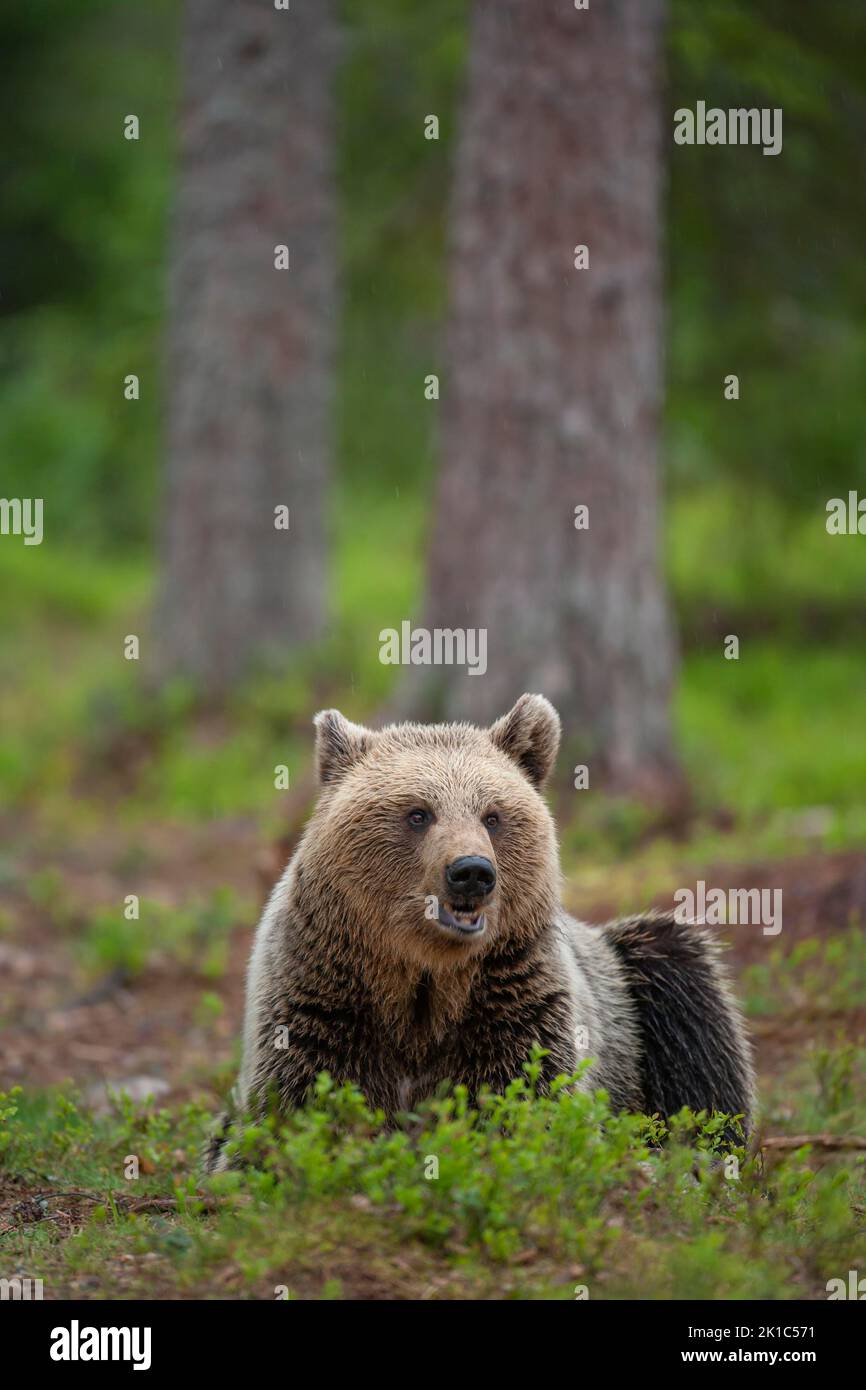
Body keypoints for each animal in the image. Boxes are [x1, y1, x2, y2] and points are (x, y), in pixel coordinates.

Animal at [204, 693, 754, 1172]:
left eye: (493, 815)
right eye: (418, 813)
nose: (471, 872)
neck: (423, 979)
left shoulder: (514, 998)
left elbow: (532, 1099)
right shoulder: (320, 998)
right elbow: (291, 1109)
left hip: (628, 987)